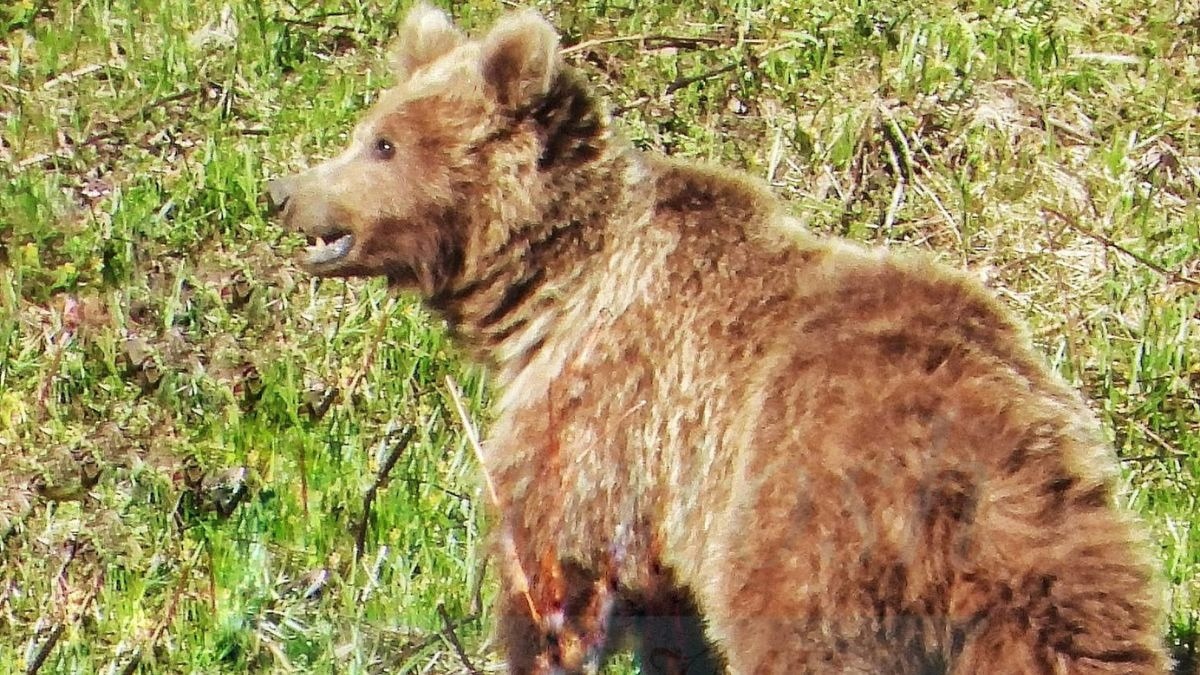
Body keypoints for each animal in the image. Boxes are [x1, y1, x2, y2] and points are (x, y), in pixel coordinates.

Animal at [267, 4, 1169, 673]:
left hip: (803, 531)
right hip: (1060, 551)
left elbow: (553, 561)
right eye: (367, 127)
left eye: (383, 143)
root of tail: (964, 458)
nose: (284, 191)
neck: (554, 287)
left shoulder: (604, 407)